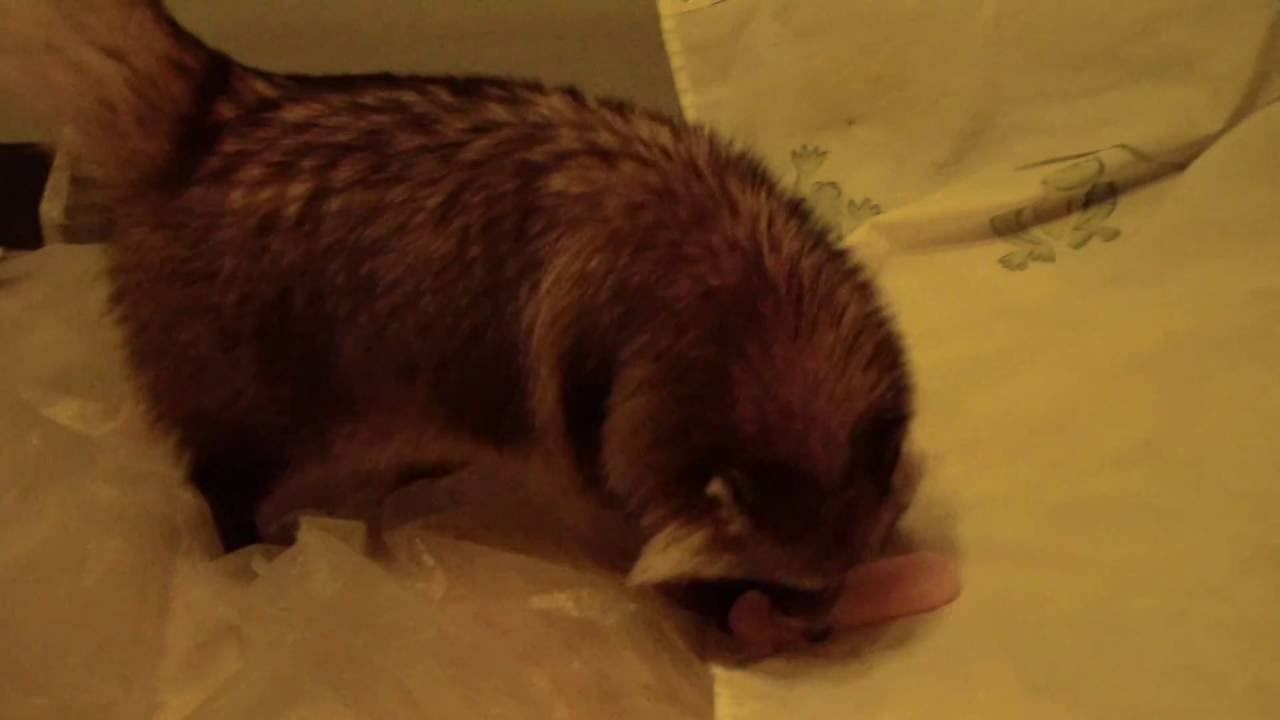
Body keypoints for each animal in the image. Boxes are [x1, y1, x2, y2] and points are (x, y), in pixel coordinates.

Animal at [1, 0, 915, 628]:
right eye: (754, 584)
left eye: (830, 582)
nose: (804, 632)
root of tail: (226, 110)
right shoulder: (590, 412)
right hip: (259, 387)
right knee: (221, 474)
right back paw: (248, 544)